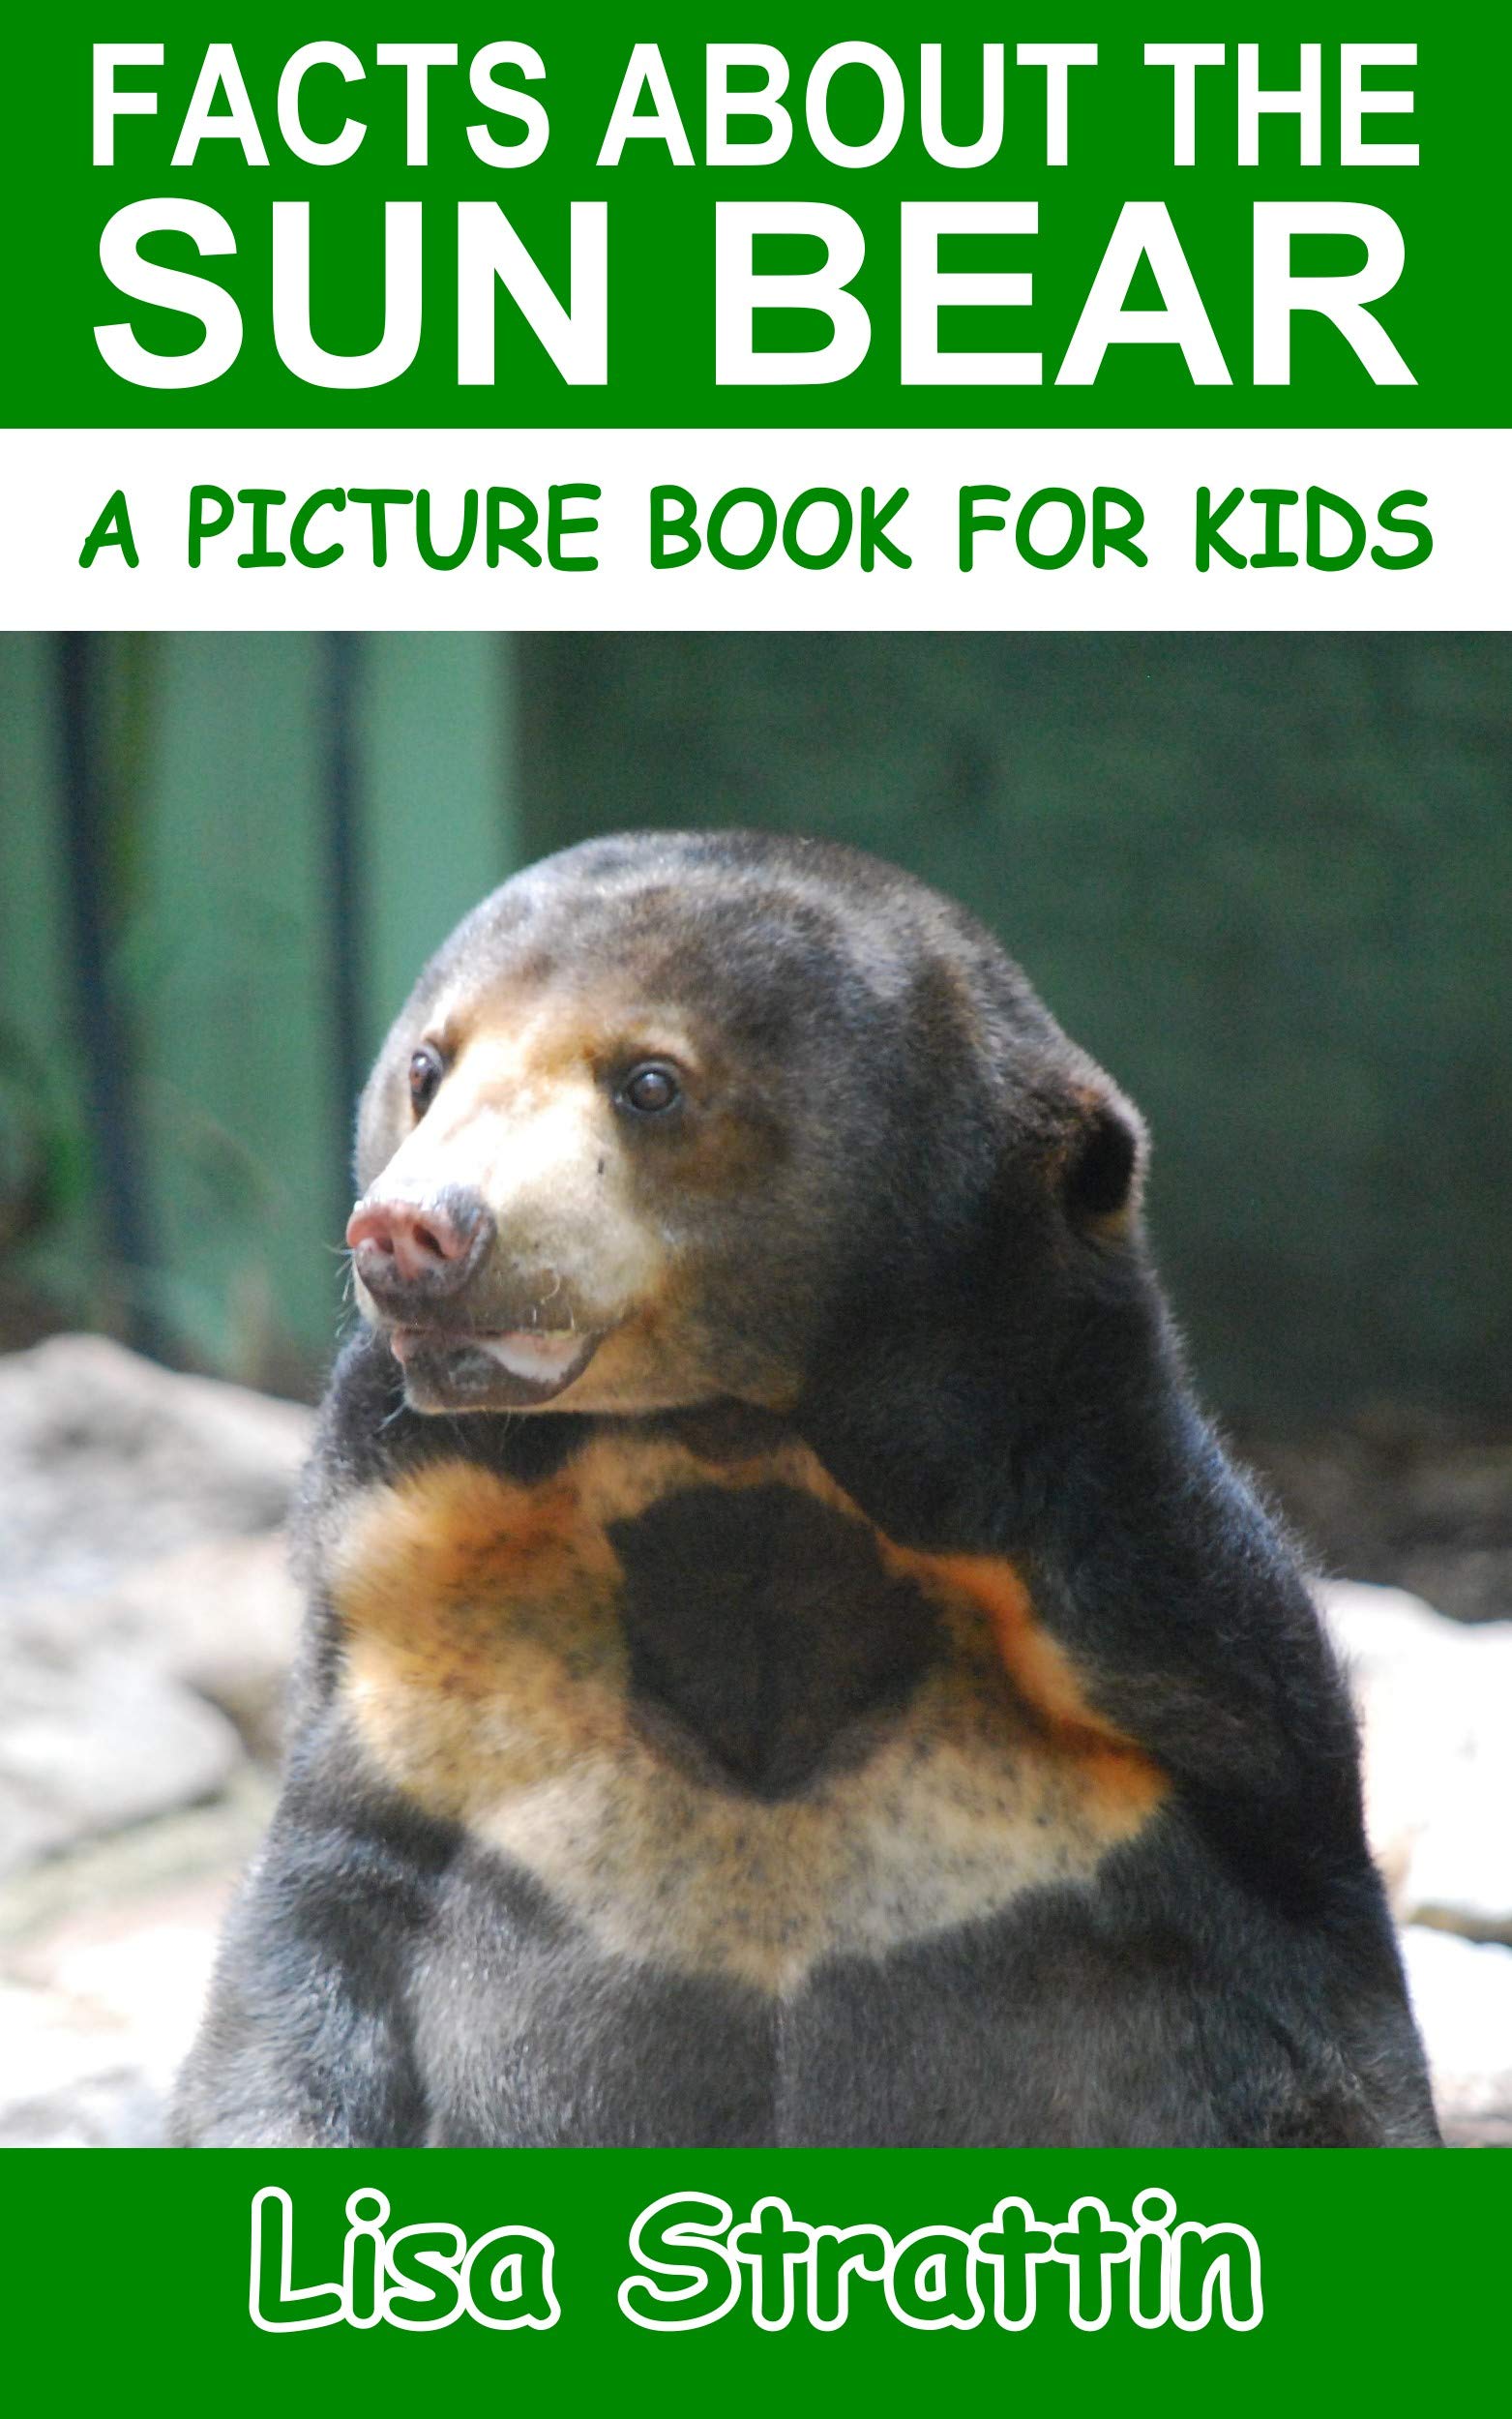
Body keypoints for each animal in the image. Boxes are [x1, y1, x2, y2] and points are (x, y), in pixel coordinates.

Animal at [173, 829, 1439, 2148]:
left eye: (651, 1082)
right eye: (427, 1067)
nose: (414, 1231)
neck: (743, 1458)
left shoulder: (1187, 1722)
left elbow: (1320, 2045)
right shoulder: (416, 1664)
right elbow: (312, 1957)